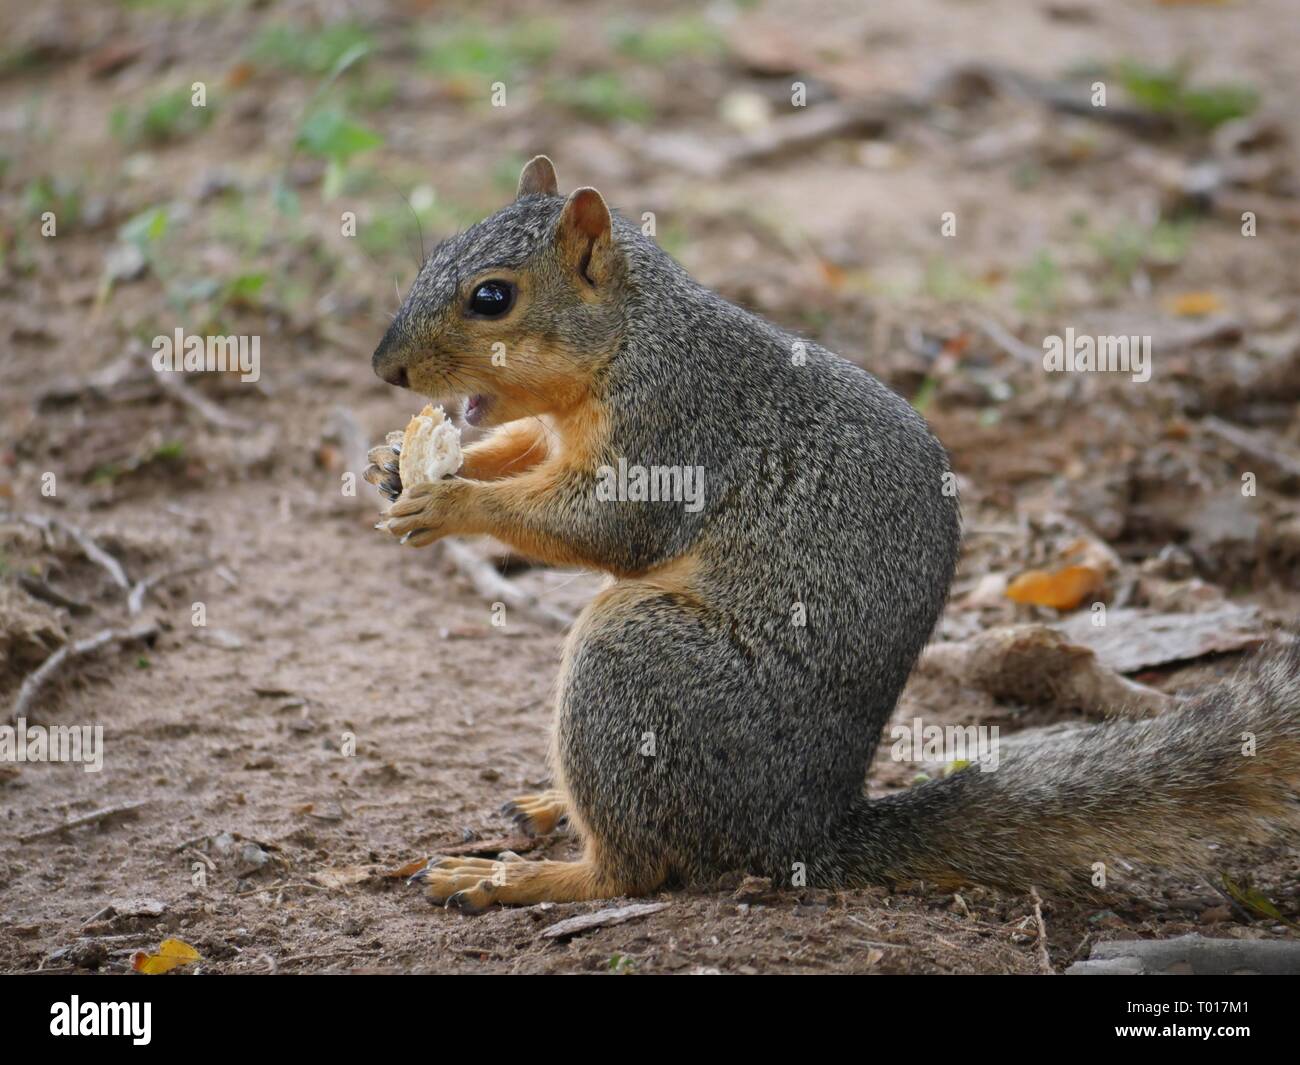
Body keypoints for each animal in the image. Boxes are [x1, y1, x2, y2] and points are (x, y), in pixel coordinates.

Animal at [365, 156, 1300, 912]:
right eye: (434, 250)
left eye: (492, 297)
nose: (386, 368)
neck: (633, 336)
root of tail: (807, 826)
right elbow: (523, 449)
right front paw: (402, 462)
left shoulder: (674, 430)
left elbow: (609, 525)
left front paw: (451, 503)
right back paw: (545, 805)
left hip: (639, 661)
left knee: (634, 870)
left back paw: (516, 877)